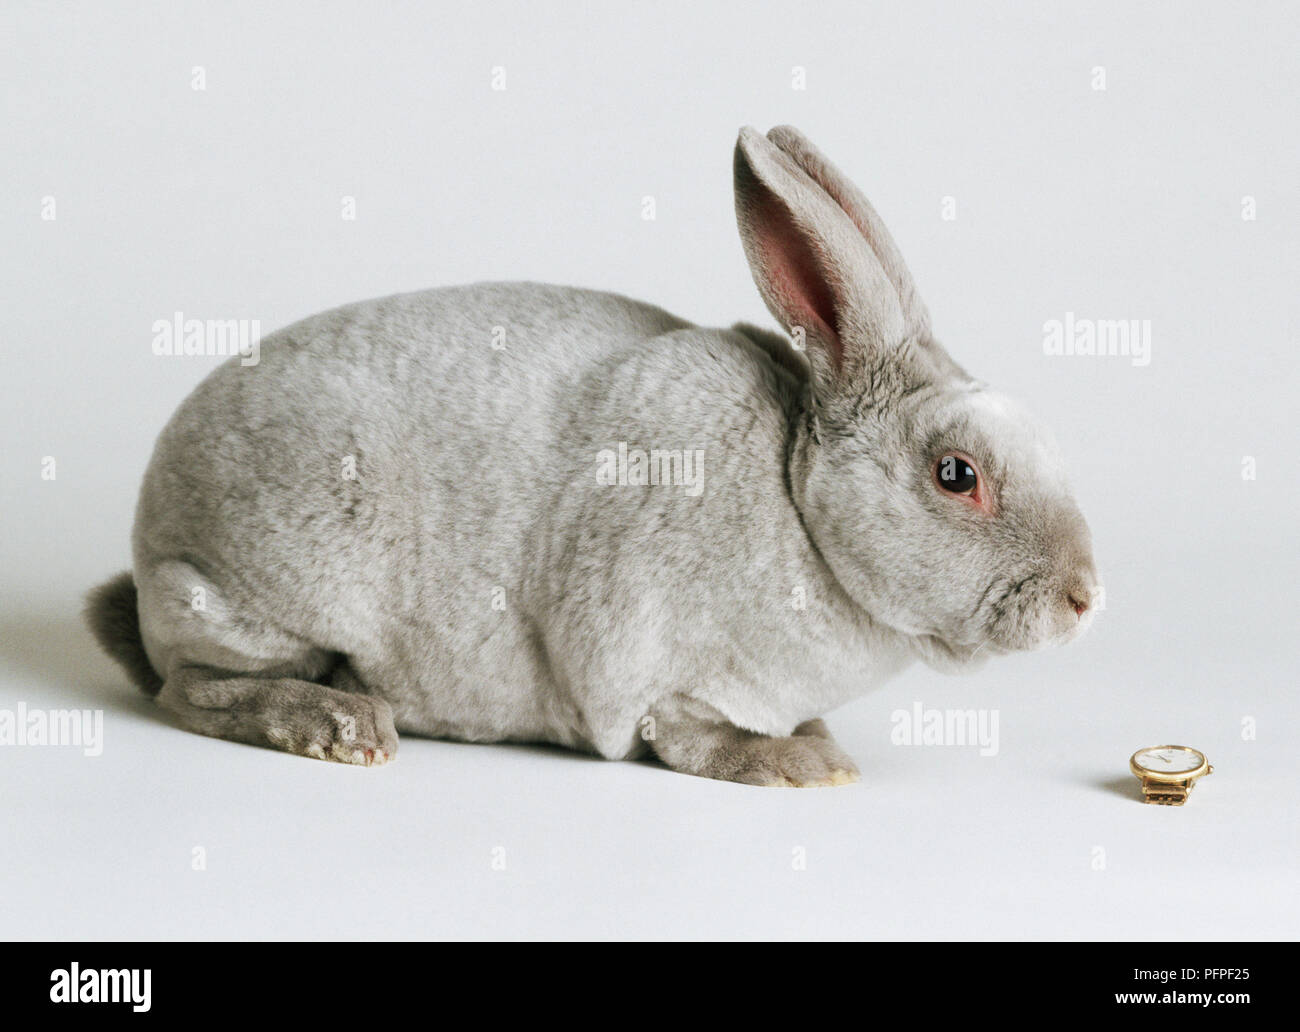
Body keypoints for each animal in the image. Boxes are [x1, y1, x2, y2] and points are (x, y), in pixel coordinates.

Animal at [85, 125, 1100, 786]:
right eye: (958, 476)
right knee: (189, 687)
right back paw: (342, 727)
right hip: (260, 598)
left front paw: (811, 740)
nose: (1085, 597)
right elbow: (687, 736)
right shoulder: (653, 669)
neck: (800, 510)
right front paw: (802, 763)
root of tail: (147, 542)